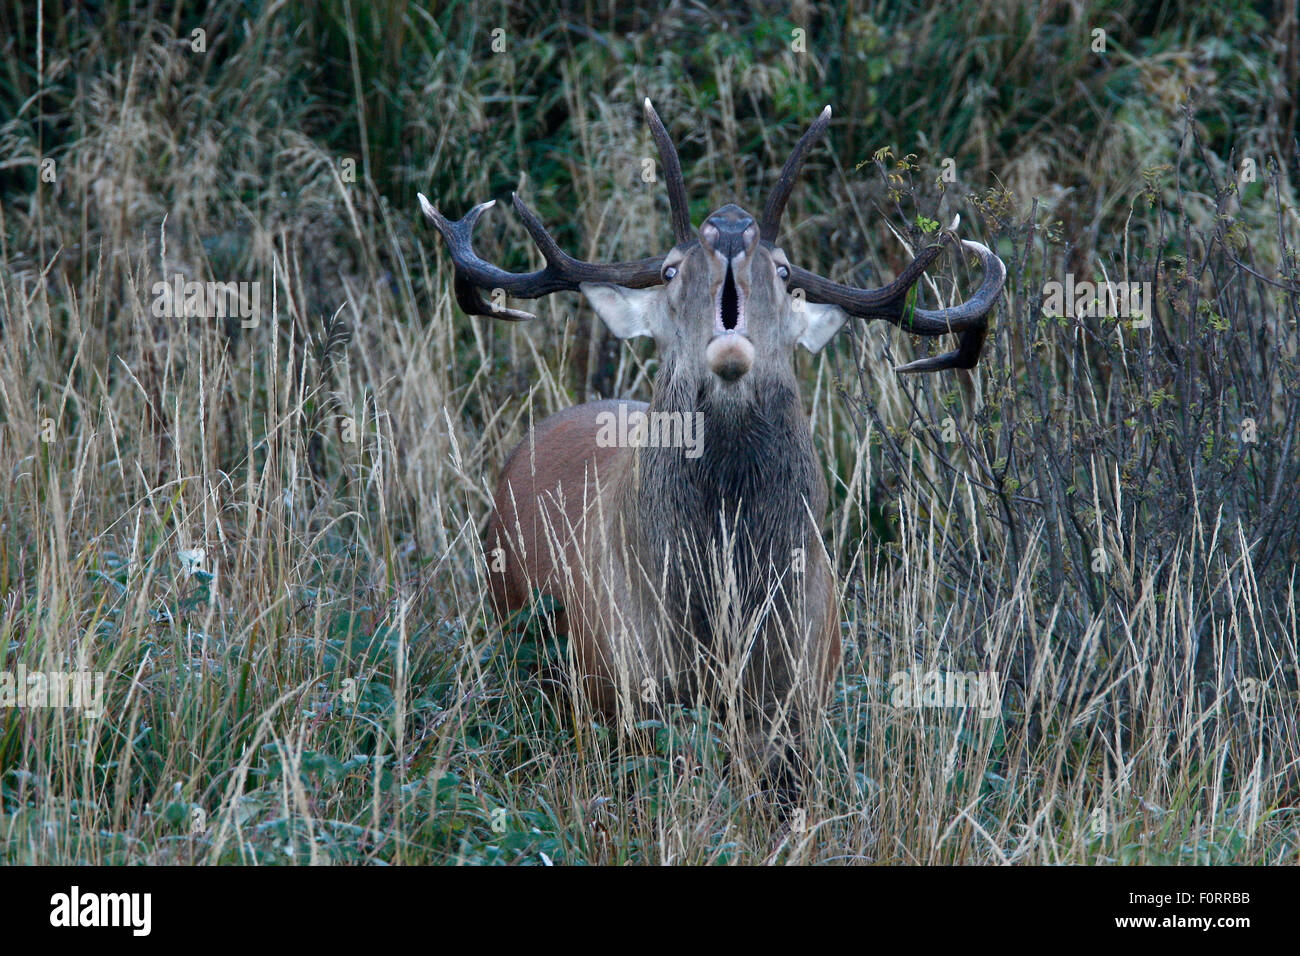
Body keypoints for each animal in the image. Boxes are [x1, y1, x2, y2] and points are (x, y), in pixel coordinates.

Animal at [420, 101, 1005, 786]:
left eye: (784, 273)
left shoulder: (802, 705)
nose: (728, 225)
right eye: (671, 270)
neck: (722, 619)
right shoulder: (622, 701)